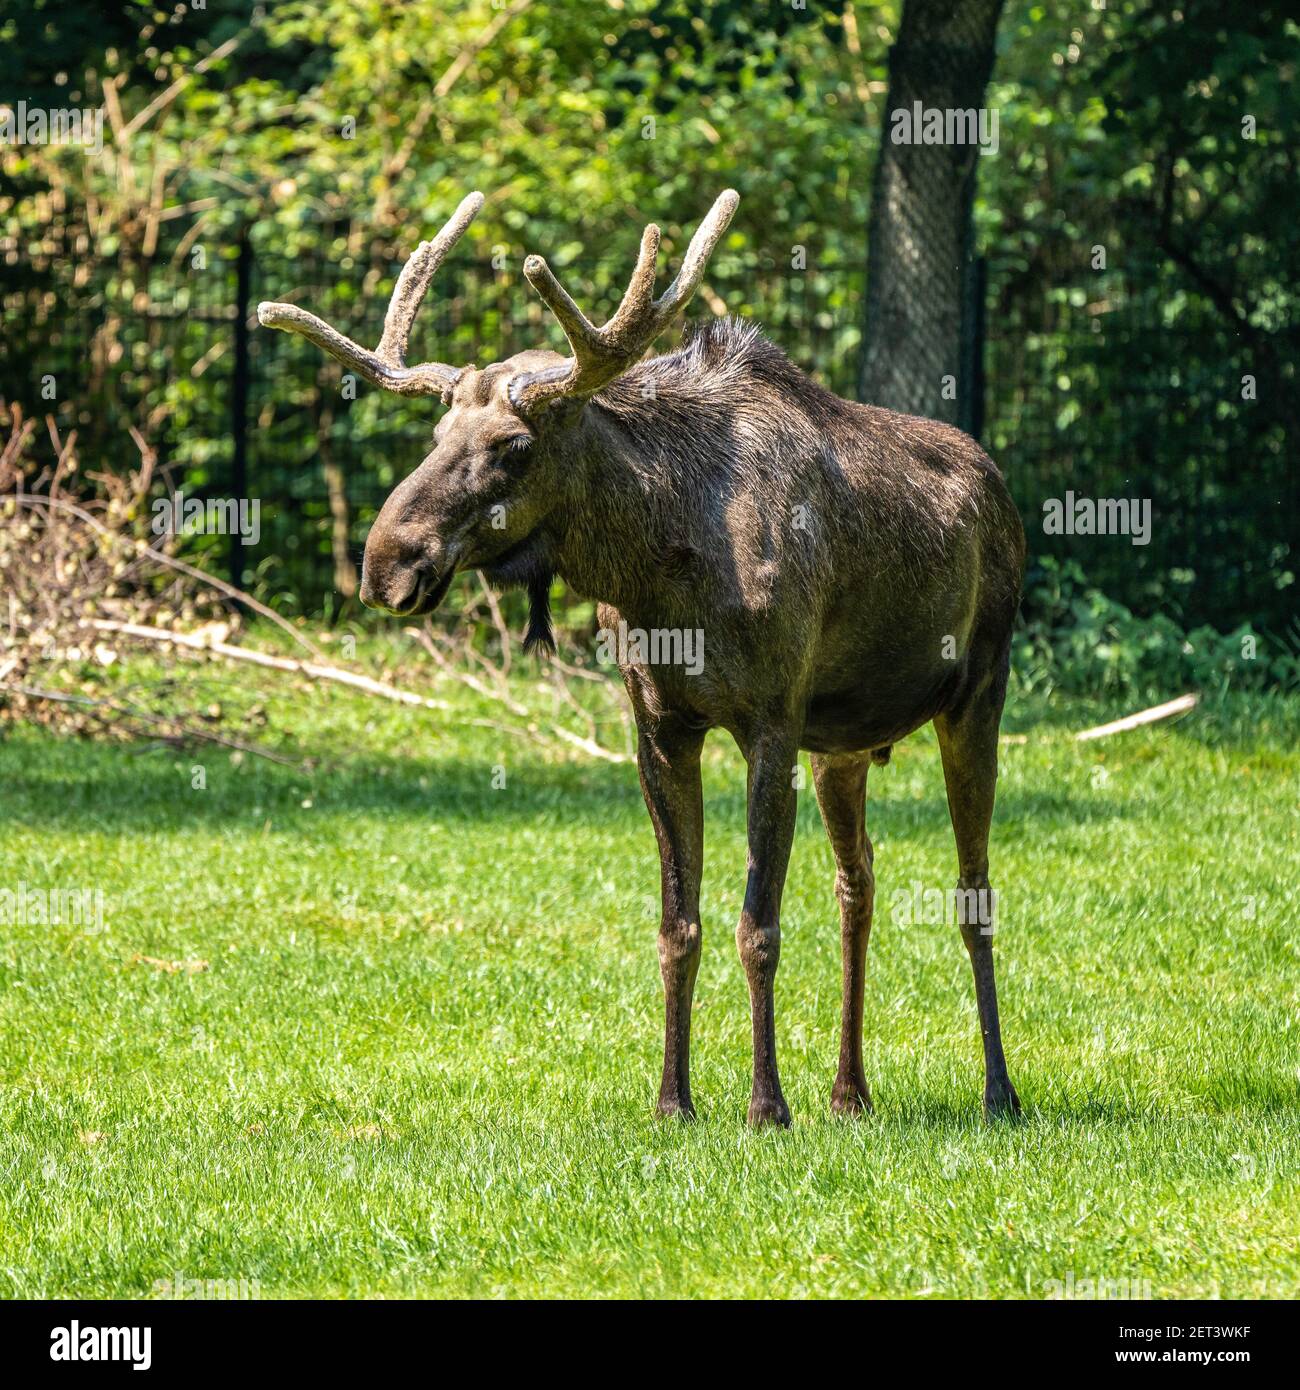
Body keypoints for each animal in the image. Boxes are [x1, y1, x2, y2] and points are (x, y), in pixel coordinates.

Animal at [258, 189, 1024, 1128]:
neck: (661, 567)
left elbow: (757, 927)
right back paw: (849, 1089)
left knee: (973, 893)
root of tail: (1001, 490)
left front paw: (766, 1105)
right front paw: (674, 1100)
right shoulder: (659, 726)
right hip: (843, 741)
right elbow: (677, 926)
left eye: (514, 445)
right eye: (438, 430)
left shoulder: (771, 722)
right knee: (860, 885)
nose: (387, 562)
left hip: (977, 692)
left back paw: (998, 1089)